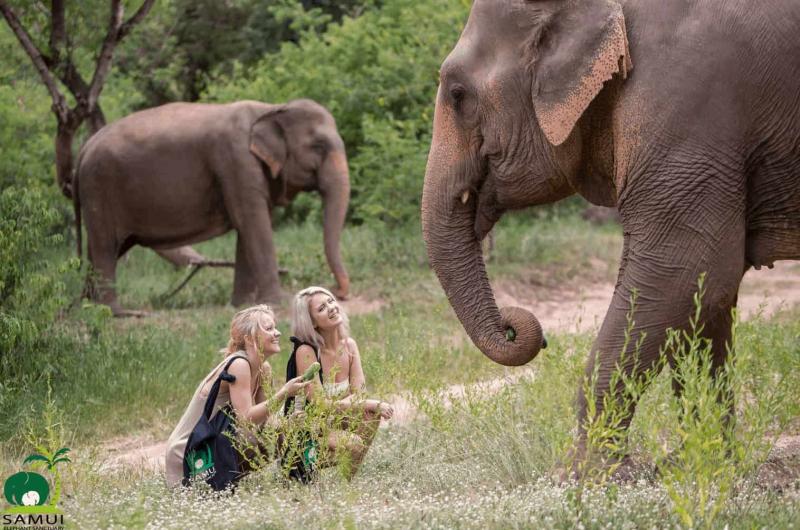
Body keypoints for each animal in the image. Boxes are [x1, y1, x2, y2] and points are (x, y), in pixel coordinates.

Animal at [75, 98, 350, 316]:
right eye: (319, 146)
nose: (338, 292)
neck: (272, 108)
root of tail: (85, 147)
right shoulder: (236, 162)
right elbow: (253, 223)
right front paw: (277, 303)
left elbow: (247, 230)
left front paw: (242, 305)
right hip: (99, 187)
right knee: (105, 247)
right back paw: (118, 313)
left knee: (102, 249)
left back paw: (88, 307)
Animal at [421, 0, 800, 477]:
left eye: (457, 95)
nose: (521, 329)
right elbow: (706, 292)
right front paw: (702, 466)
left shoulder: (684, 103)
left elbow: (685, 270)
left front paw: (587, 475)